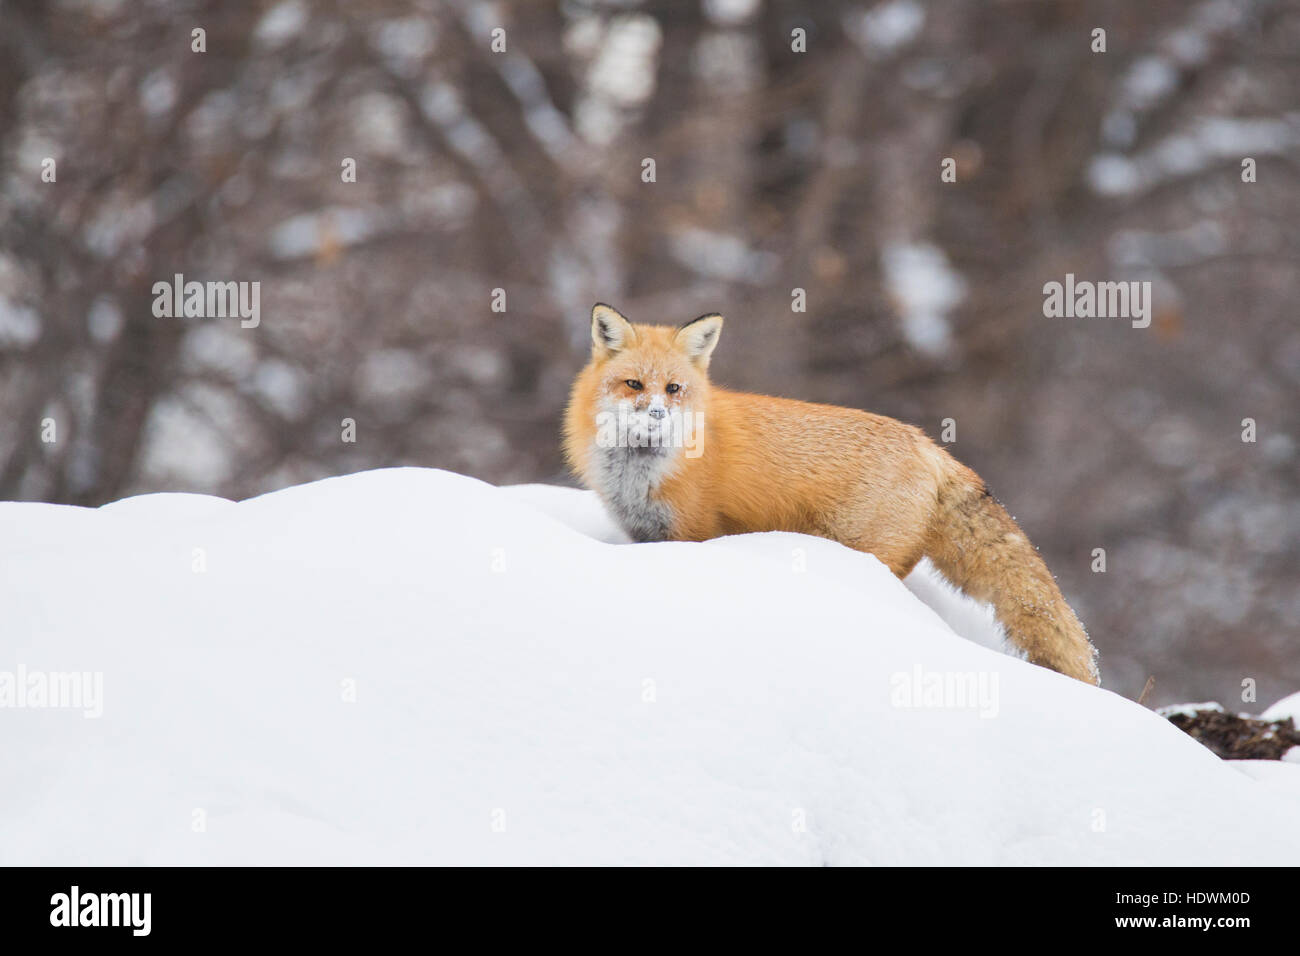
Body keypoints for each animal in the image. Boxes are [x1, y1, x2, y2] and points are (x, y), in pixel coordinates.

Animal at [563, 303, 1100, 685]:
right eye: (634, 384)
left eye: (674, 389)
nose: (657, 415)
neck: (643, 470)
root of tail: (928, 445)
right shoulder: (645, 533)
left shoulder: (691, 534)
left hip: (866, 548)